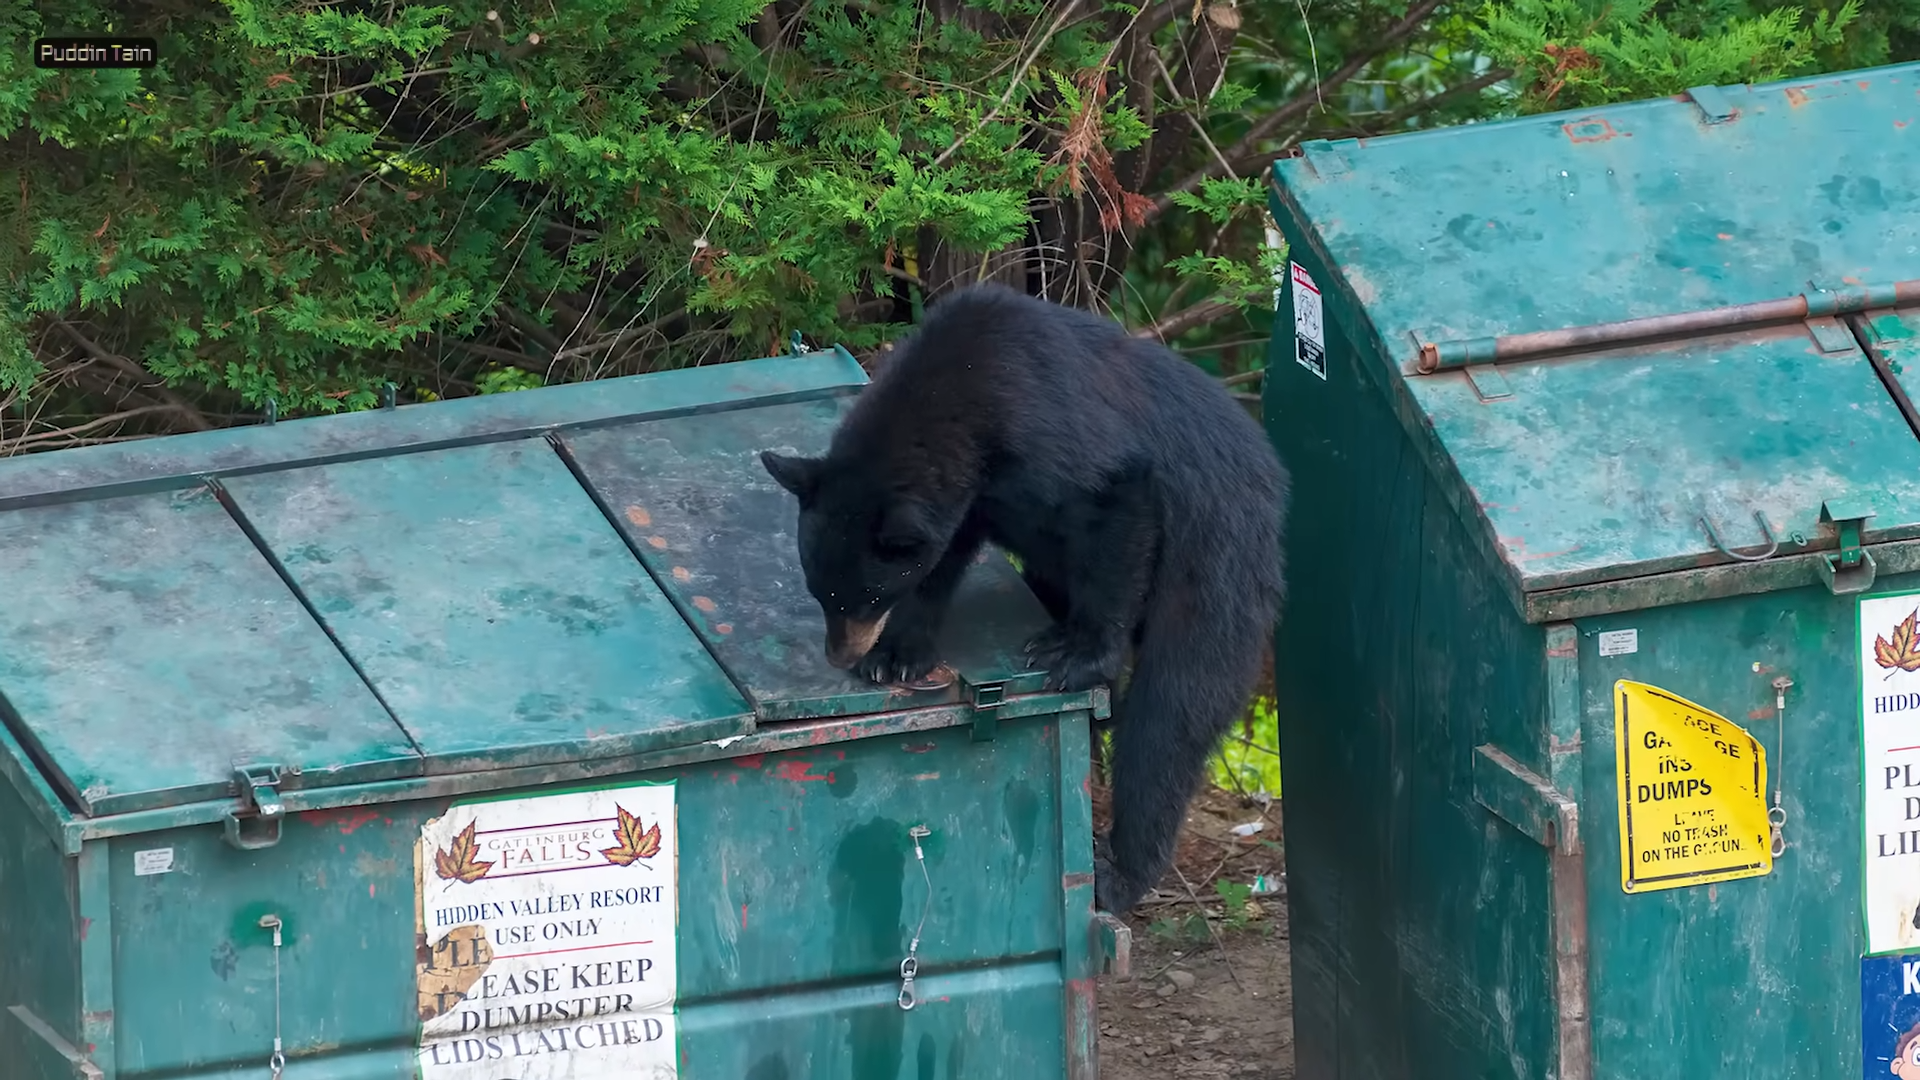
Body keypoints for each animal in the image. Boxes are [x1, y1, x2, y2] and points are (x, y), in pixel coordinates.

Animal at [760, 282, 1287, 914]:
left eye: (863, 597)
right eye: (821, 593)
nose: (838, 654)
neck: (964, 393)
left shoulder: (1059, 436)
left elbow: (1117, 503)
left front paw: (1077, 654)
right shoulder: (966, 497)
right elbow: (941, 558)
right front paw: (897, 654)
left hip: (1216, 563)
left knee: (1172, 710)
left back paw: (1119, 874)